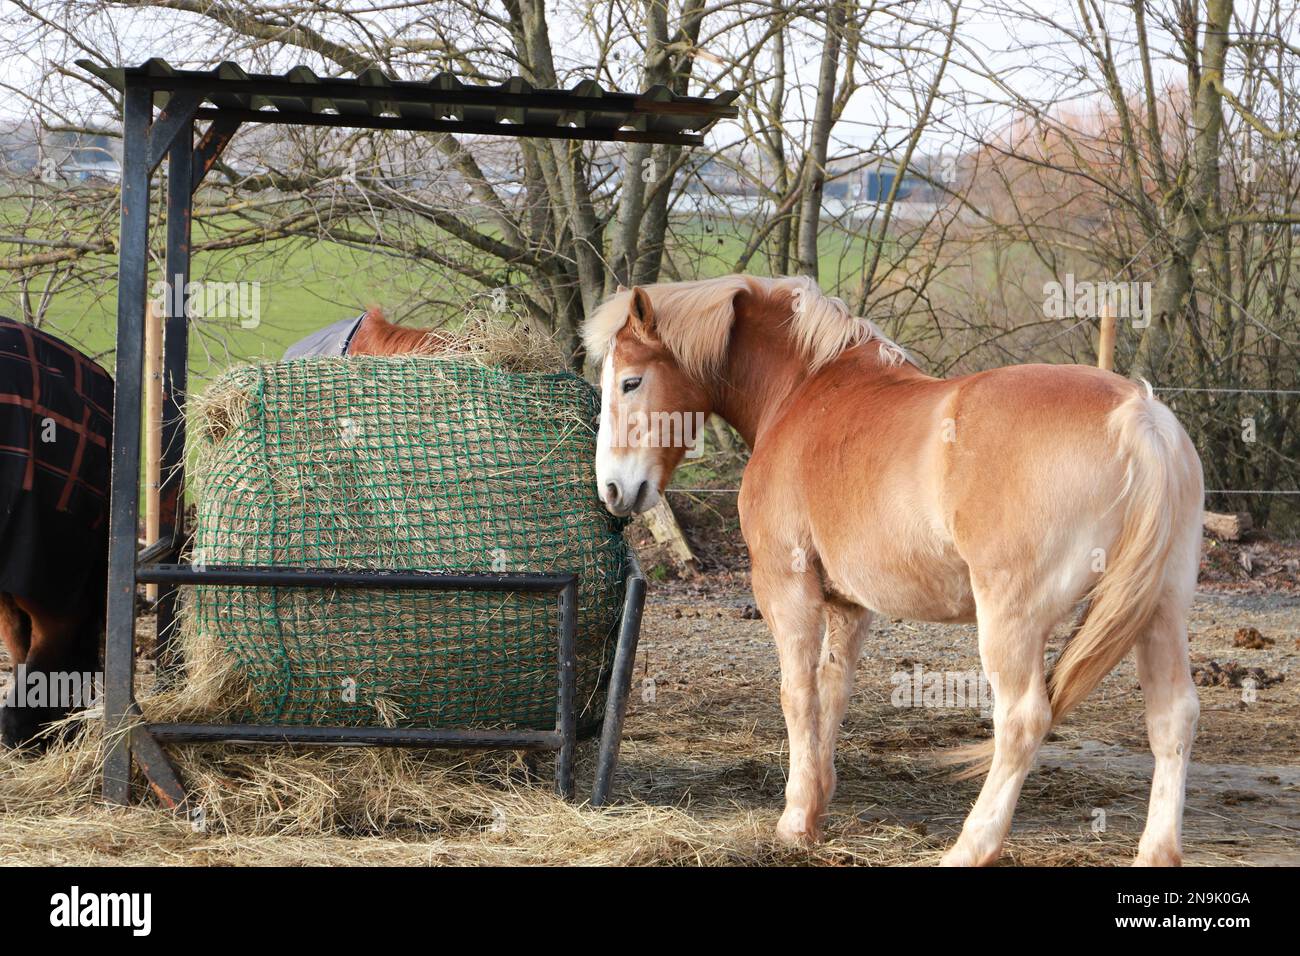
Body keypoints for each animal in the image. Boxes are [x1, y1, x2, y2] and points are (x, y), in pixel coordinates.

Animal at [584, 275, 1203, 867]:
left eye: (630, 383)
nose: (612, 490)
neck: (804, 391)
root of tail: (1139, 416)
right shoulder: (850, 604)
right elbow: (832, 691)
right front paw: (815, 807)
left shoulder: (786, 587)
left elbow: (797, 693)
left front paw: (793, 820)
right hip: (1159, 610)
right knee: (1172, 718)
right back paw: (1156, 851)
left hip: (1013, 619)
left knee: (1022, 721)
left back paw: (971, 846)